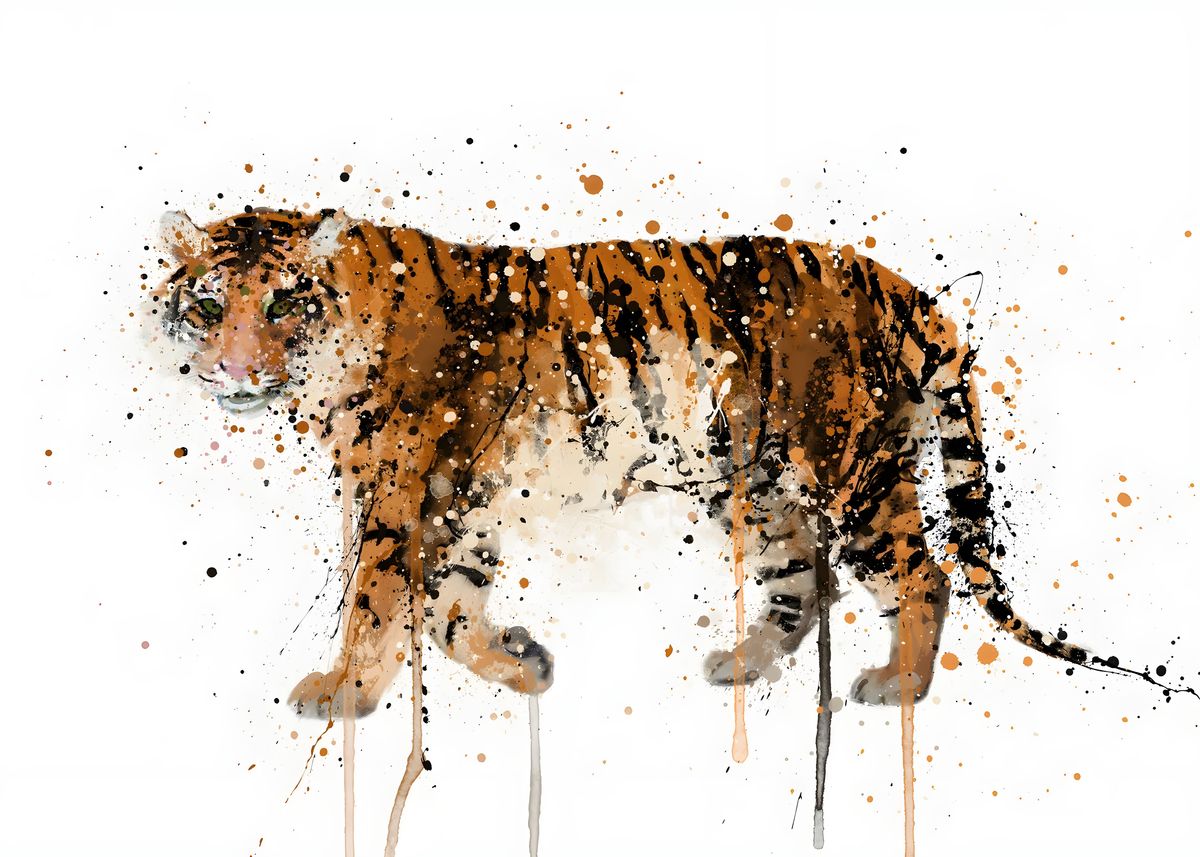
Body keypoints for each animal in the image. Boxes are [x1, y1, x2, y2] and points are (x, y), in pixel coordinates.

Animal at [151, 206, 1150, 719]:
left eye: (285, 304)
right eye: (208, 305)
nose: (231, 371)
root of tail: (903, 287)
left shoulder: (400, 491)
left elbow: (377, 598)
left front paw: (339, 692)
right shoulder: (458, 500)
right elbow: (447, 607)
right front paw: (523, 664)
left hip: (850, 466)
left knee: (919, 572)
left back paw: (895, 685)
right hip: (752, 481)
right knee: (806, 576)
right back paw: (743, 662)